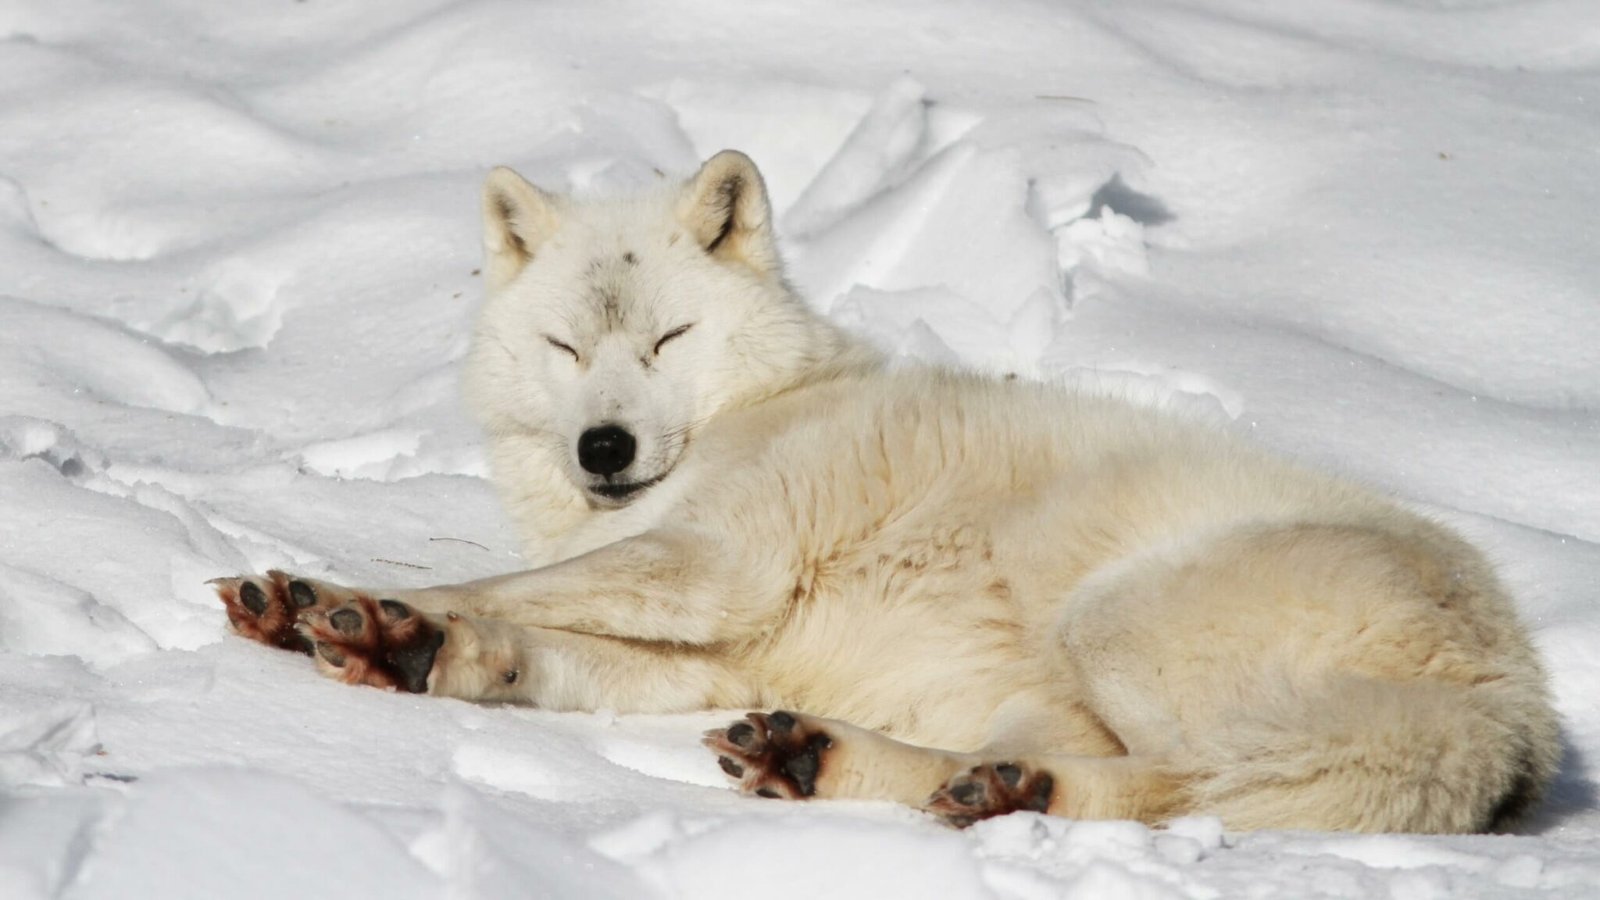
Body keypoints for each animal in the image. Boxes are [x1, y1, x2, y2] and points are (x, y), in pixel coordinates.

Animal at [213, 150, 1560, 833]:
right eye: (566, 347)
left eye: (666, 340)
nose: (602, 446)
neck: (751, 408)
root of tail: (1517, 712)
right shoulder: (714, 655)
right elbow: (523, 642)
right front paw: (407, 650)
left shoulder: (709, 569)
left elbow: (489, 582)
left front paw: (344, 604)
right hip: (1045, 694)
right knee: (1058, 778)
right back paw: (858, 770)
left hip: (1113, 630)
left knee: (1186, 793)